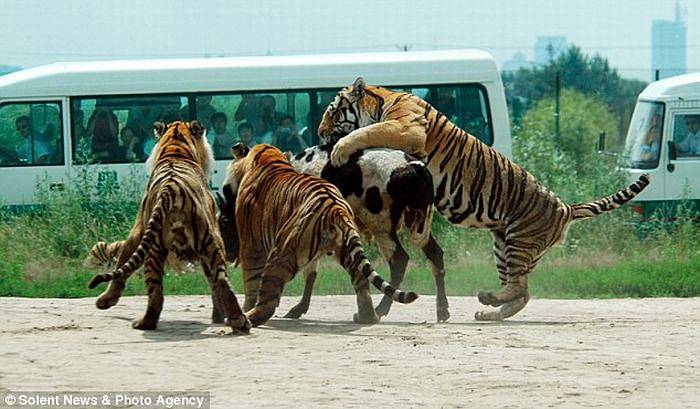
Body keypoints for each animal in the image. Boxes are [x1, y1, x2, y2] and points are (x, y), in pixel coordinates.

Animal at [86, 121, 250, 333]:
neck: (176, 148)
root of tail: (171, 190)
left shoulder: (138, 230)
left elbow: (122, 261)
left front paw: (105, 301)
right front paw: (218, 316)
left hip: (157, 249)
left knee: (156, 291)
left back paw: (144, 323)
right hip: (210, 243)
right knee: (222, 280)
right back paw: (239, 321)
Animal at [219, 143, 418, 327]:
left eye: (223, 221)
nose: (227, 253)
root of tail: (337, 209)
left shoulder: (252, 246)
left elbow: (251, 283)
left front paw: (246, 307)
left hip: (284, 252)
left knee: (269, 297)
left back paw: (244, 318)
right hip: (348, 249)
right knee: (362, 281)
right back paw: (367, 316)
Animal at [319, 77, 651, 321]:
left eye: (333, 111)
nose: (321, 133)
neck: (385, 98)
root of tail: (565, 208)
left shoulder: (405, 128)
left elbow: (364, 132)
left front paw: (340, 150)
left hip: (518, 241)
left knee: (518, 287)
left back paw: (487, 299)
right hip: (503, 246)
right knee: (522, 292)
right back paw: (489, 311)